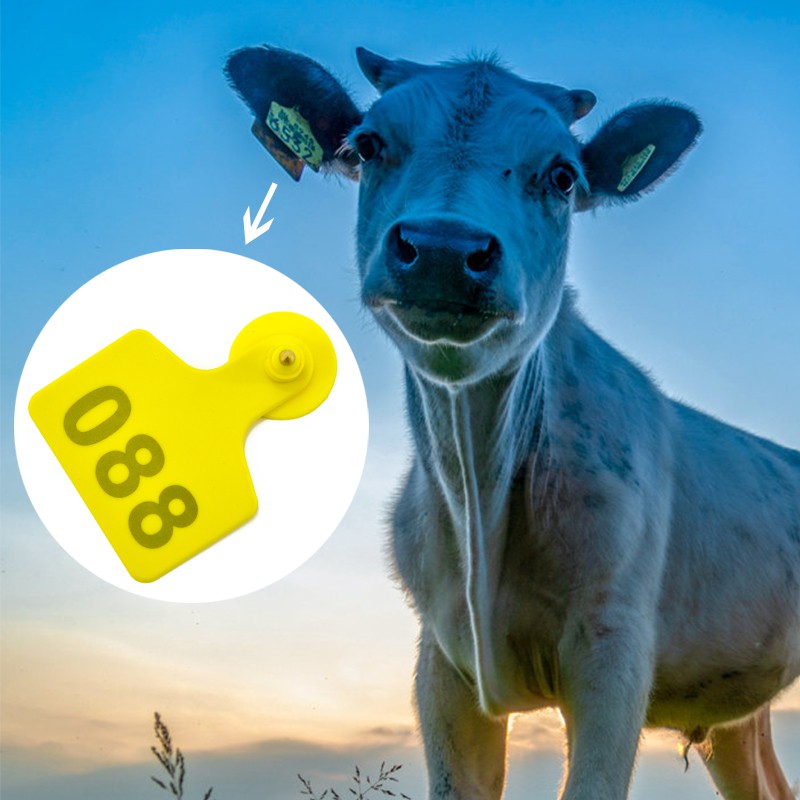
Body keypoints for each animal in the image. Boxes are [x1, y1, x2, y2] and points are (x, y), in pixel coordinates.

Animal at [225, 46, 800, 800]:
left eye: (561, 175)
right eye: (368, 145)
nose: (443, 248)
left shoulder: (614, 650)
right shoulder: (441, 663)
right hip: (735, 713)